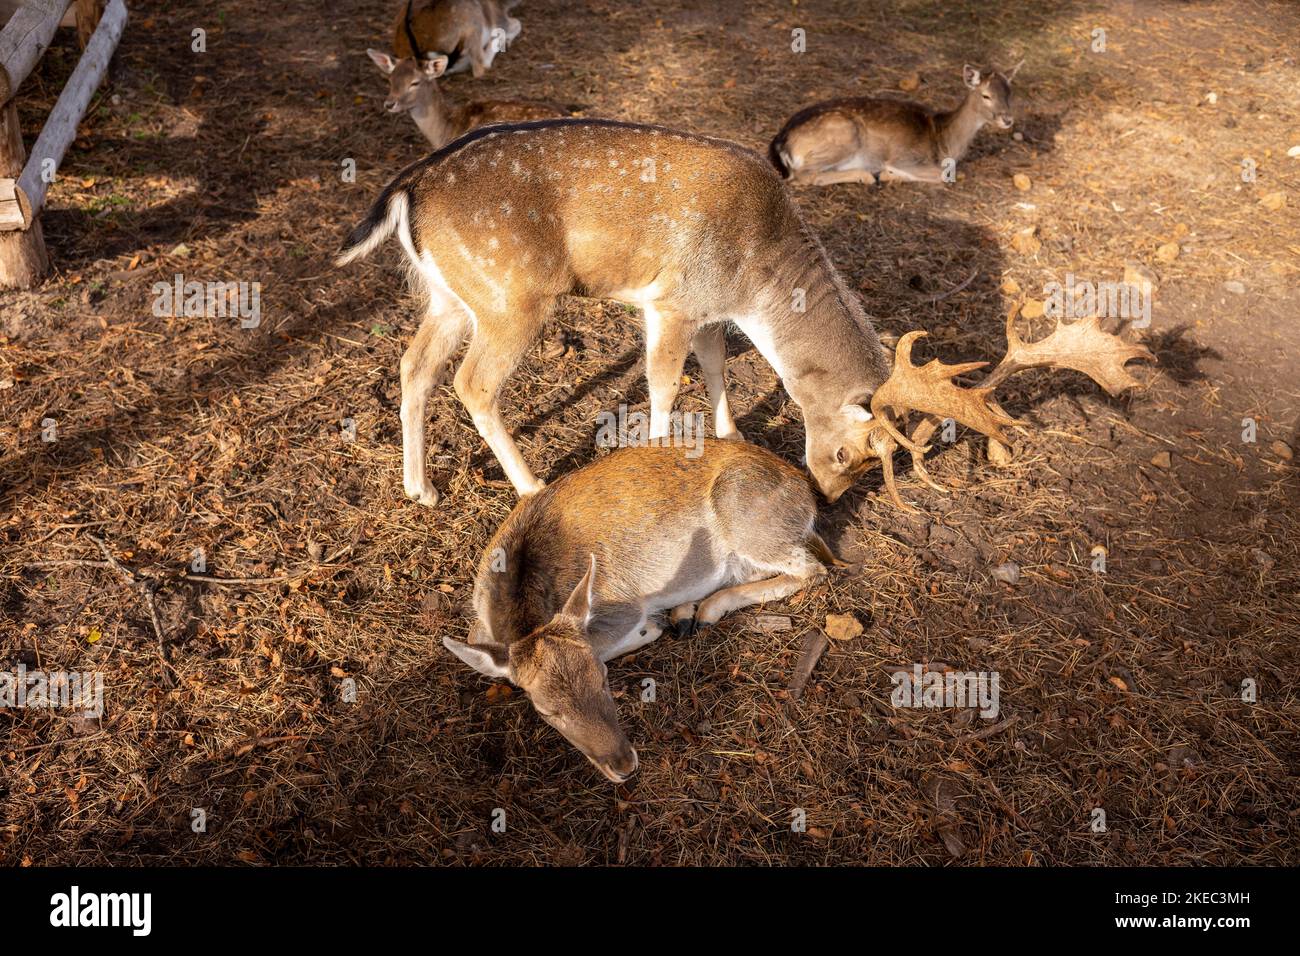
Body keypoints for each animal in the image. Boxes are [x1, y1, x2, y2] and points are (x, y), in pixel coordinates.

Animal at [335, 118, 1150, 512]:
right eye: (853, 455)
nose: (825, 502)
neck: (759, 274)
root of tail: (408, 187)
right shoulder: (672, 298)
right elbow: (665, 384)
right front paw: (659, 457)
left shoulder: (707, 310)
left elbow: (718, 363)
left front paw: (731, 432)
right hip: (512, 294)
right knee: (471, 382)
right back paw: (531, 488)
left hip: (450, 293)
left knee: (412, 365)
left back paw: (420, 488)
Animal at [441, 439, 848, 782]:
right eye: (545, 711)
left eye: (603, 678)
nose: (624, 765)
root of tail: (806, 493)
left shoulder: (621, 605)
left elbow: (613, 636)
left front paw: (651, 627)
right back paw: (687, 610)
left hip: (753, 523)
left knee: (812, 570)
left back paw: (702, 611)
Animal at [768, 63, 1022, 186]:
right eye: (986, 95)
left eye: (1010, 93)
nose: (1008, 119)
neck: (945, 143)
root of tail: (781, 143)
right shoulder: (906, 158)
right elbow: (941, 174)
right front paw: (888, 174)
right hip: (844, 135)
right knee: (803, 176)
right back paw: (868, 176)